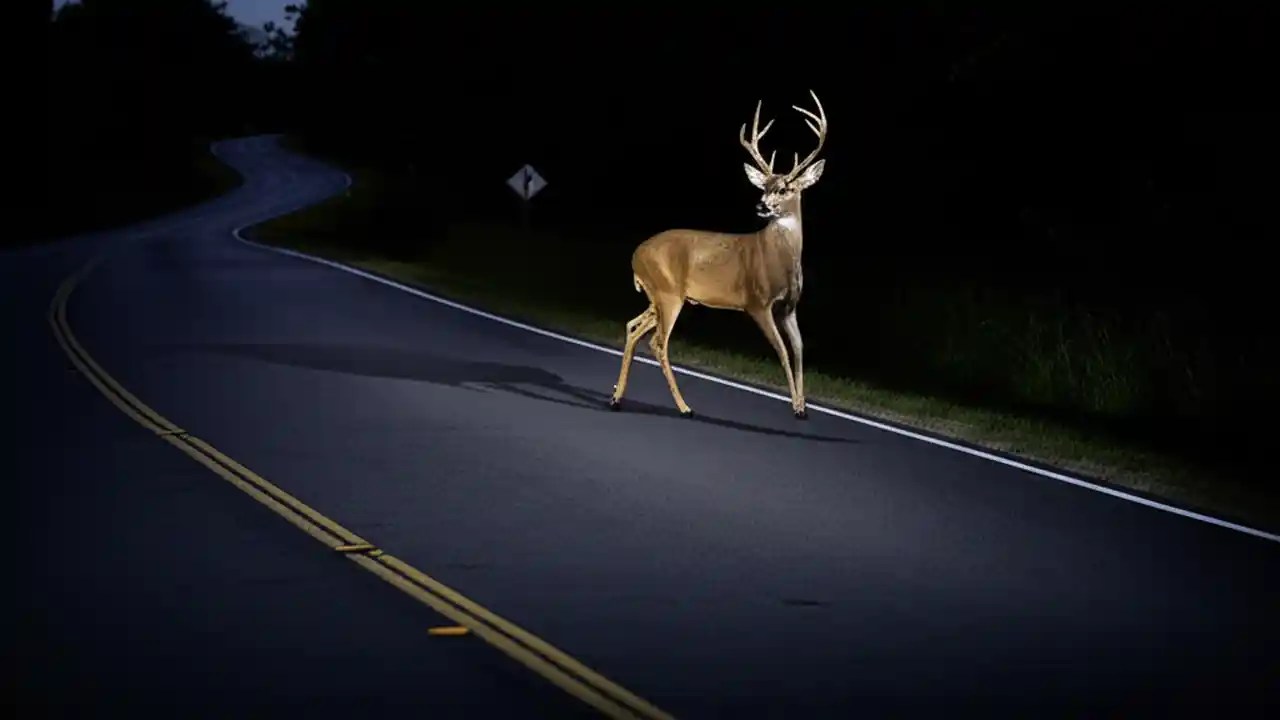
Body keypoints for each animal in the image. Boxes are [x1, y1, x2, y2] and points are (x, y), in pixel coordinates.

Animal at [608, 89, 828, 420]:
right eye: (764, 186)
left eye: (785, 189)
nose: (761, 205)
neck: (782, 260)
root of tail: (636, 255)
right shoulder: (757, 303)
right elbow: (783, 352)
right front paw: (796, 408)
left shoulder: (789, 307)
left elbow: (799, 350)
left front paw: (803, 406)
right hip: (669, 293)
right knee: (658, 343)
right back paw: (685, 407)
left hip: (657, 296)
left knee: (633, 327)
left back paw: (616, 398)